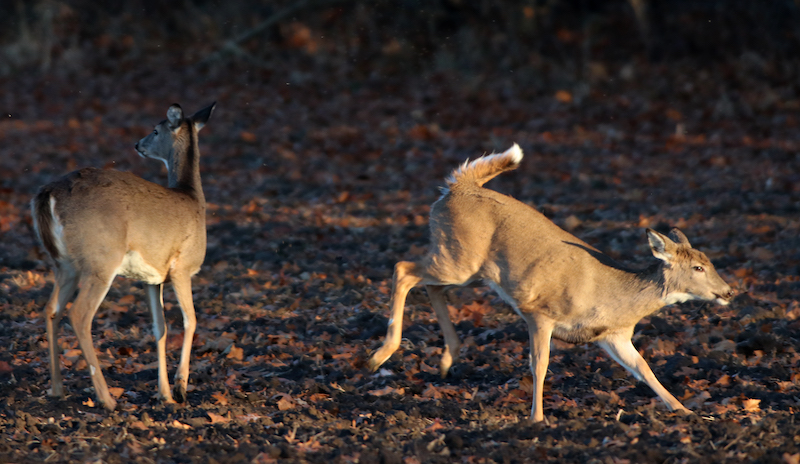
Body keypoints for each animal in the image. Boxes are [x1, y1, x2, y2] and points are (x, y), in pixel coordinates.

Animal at [31, 102, 215, 411]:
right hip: (101, 259)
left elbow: (160, 328)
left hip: (65, 263)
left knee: (51, 309)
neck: (193, 198)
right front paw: (180, 388)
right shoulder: (182, 267)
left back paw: (57, 389)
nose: (138, 144)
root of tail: (47, 194)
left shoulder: (152, 278)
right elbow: (191, 320)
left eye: (155, 131)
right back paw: (106, 399)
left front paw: (164, 394)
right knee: (79, 314)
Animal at [367, 143, 734, 422]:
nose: (730, 291)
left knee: (429, 284)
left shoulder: (612, 335)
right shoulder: (540, 312)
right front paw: (537, 418)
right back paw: (379, 355)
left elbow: (644, 368)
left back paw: (447, 358)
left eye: (710, 262)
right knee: (404, 269)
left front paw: (683, 410)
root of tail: (457, 187)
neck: (615, 295)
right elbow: (539, 364)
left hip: (464, 265)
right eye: (699, 267)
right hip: (460, 260)